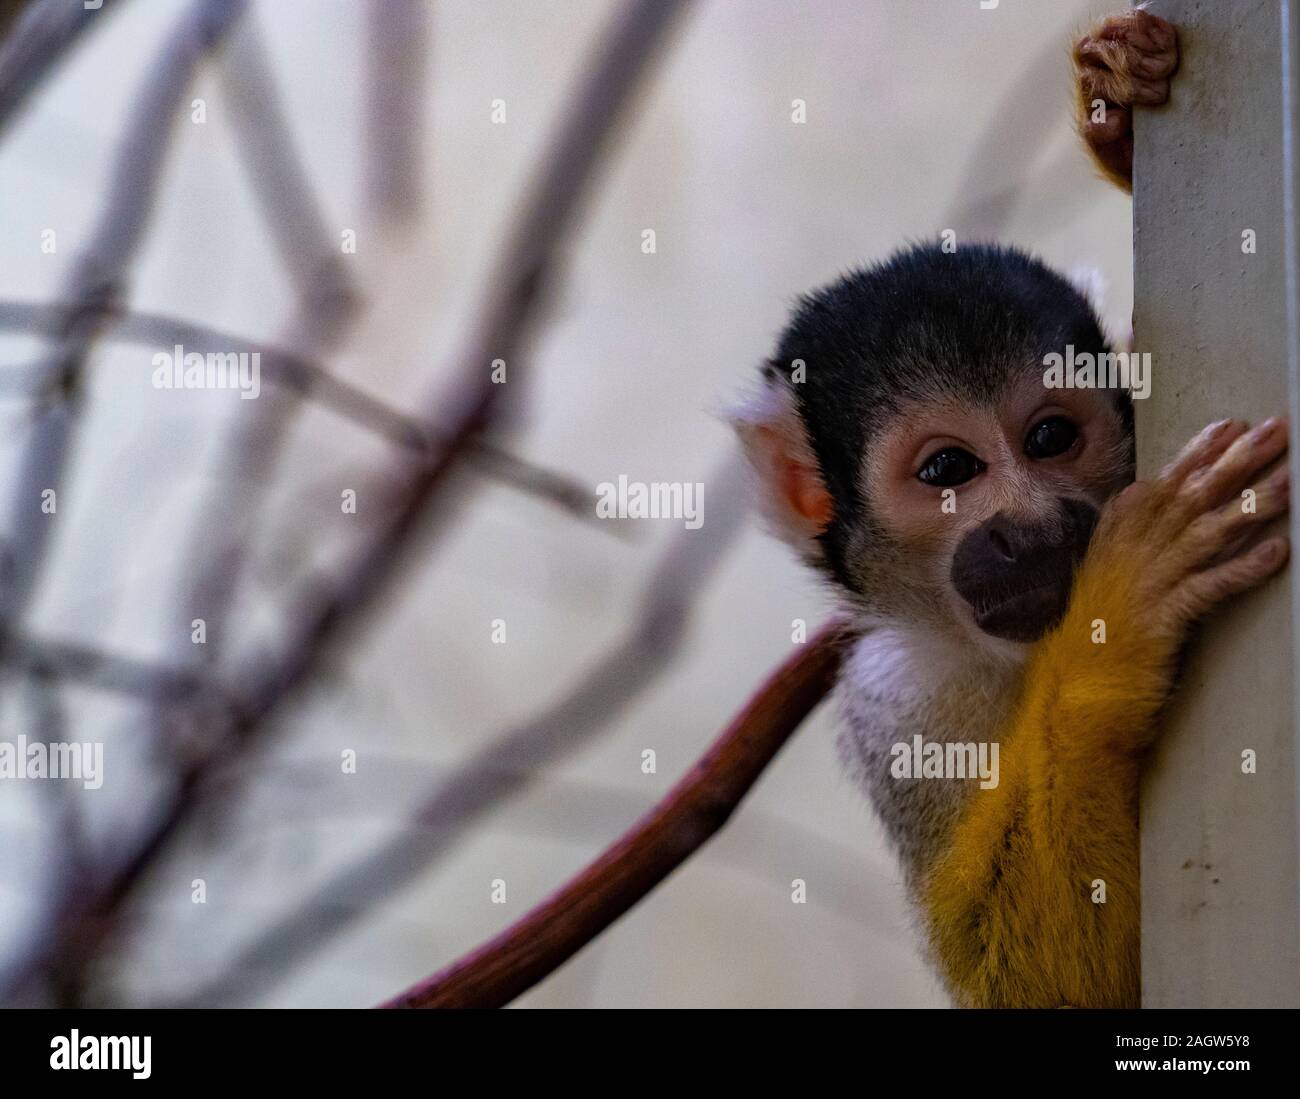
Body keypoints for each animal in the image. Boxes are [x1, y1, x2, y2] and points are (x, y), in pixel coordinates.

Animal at [732, 11, 1291, 1008]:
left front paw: (1116, 110)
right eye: (949, 467)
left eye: (1049, 438)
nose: (1033, 527)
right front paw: (1112, 627)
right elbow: (1056, 980)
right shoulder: (895, 701)